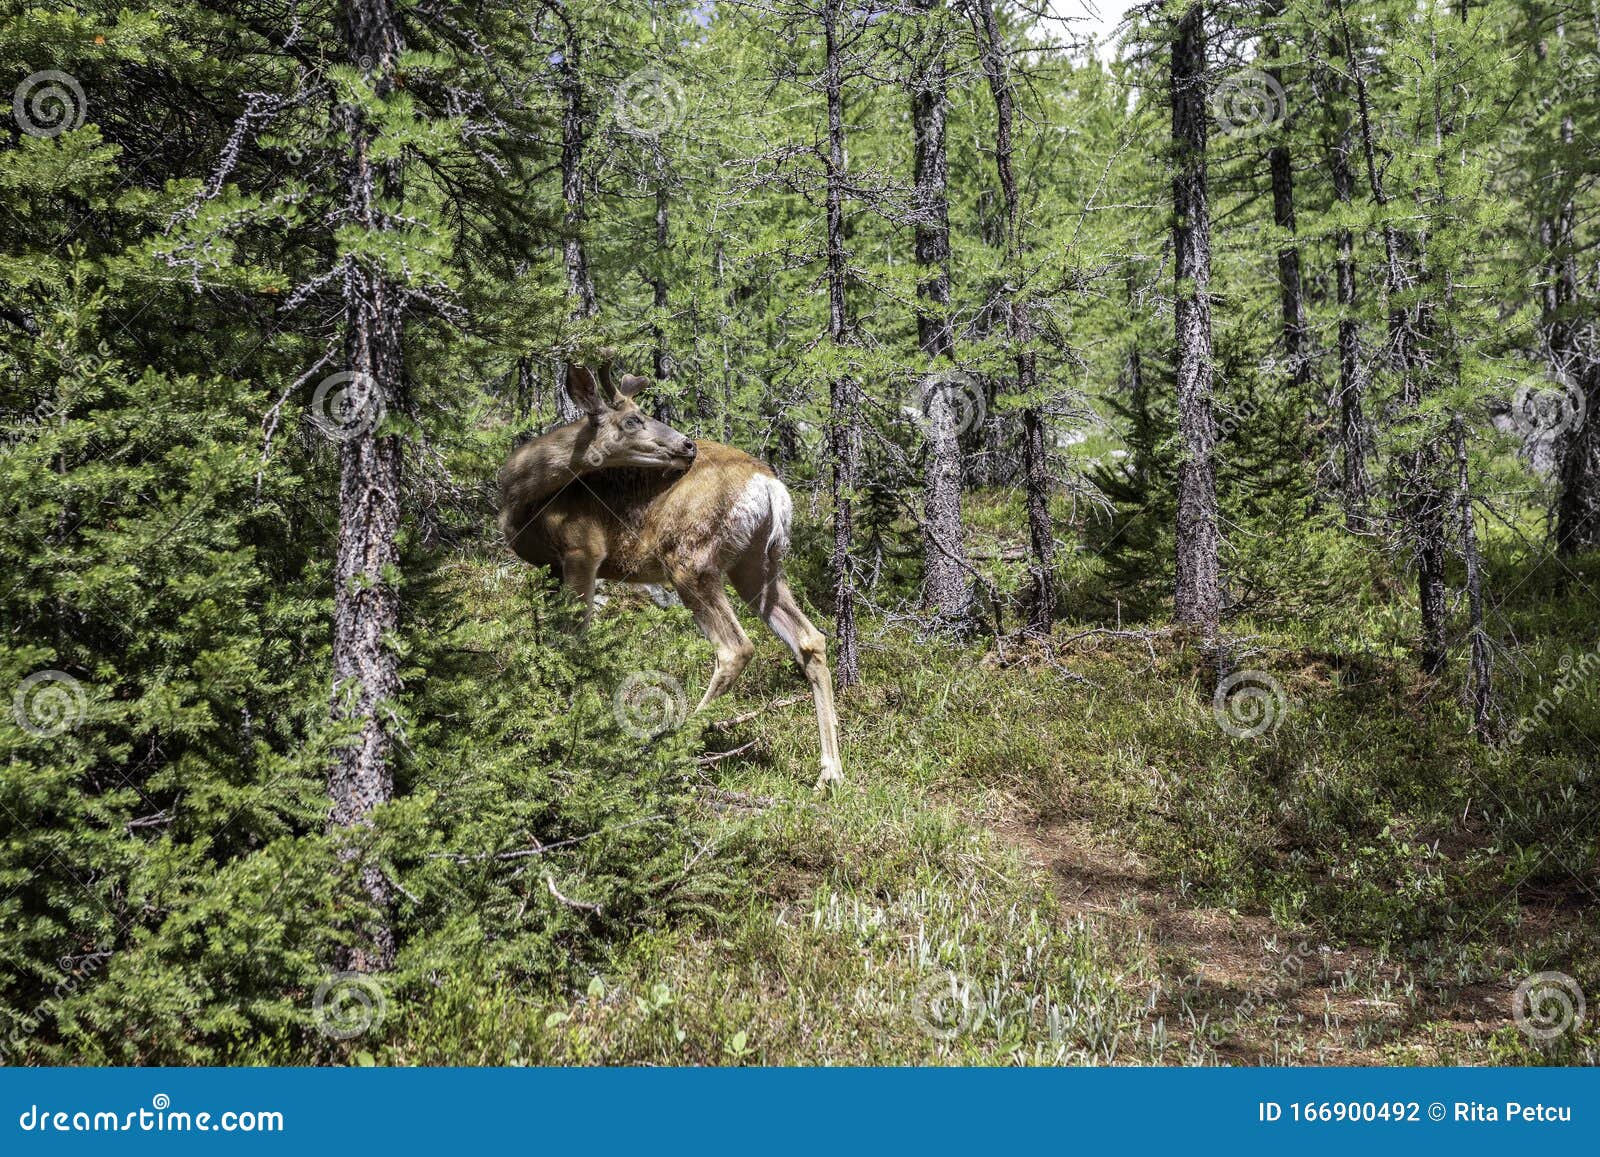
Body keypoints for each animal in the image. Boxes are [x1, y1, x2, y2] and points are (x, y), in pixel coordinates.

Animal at [497, 354, 844, 790]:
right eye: (633, 419)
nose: (687, 444)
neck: (523, 498)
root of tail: (771, 488)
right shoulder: (549, 568)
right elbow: (549, 641)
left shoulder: (582, 551)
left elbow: (573, 641)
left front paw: (566, 719)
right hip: (758, 564)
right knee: (811, 638)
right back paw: (831, 772)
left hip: (691, 560)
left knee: (736, 648)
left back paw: (673, 745)